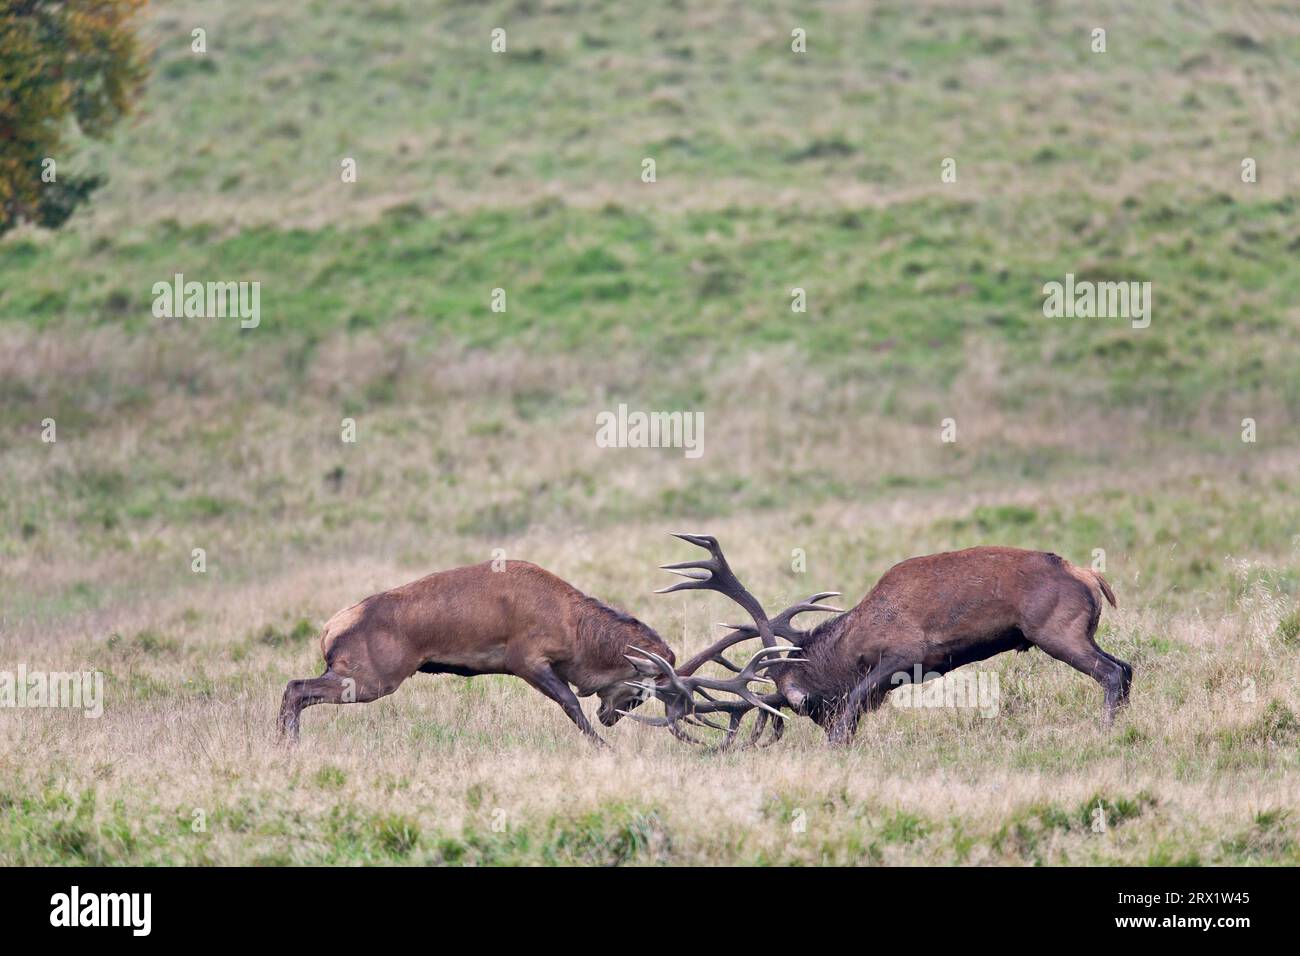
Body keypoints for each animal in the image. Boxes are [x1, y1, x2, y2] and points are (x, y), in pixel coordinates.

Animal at [275, 557, 828, 745]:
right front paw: (602, 747)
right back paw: (288, 744)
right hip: (371, 676)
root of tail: (329, 628)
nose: (612, 717)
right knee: (295, 686)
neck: (574, 631)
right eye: (640, 692)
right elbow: (568, 705)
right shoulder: (525, 658)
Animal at [625, 534, 1131, 747]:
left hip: (1056, 631)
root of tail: (1092, 576)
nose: (831, 737)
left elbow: (856, 697)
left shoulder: (906, 654)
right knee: (1125, 667)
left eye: (810, 706)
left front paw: (838, 741)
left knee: (1111, 672)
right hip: (1077, 633)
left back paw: (1104, 731)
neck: (856, 641)